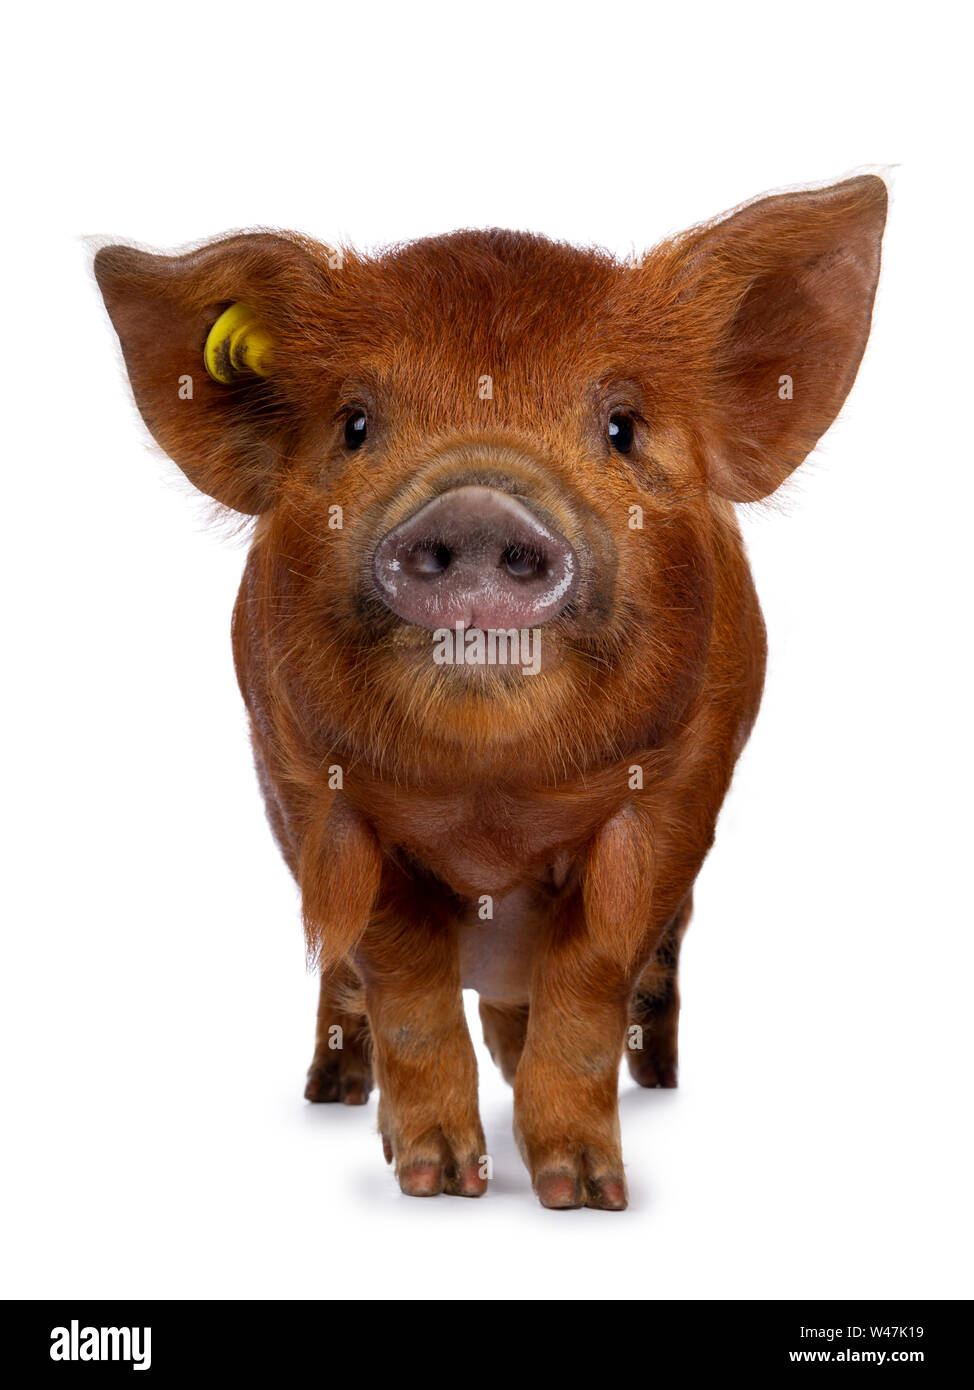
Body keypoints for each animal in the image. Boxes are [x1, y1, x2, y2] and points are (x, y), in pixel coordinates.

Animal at [94, 175, 886, 1209]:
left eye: (622, 427)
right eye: (355, 424)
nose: (477, 504)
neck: (489, 810)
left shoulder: (678, 793)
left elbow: (590, 980)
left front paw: (585, 1194)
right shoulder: (312, 789)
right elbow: (401, 973)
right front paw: (437, 1179)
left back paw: (647, 1081)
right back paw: (333, 1096)